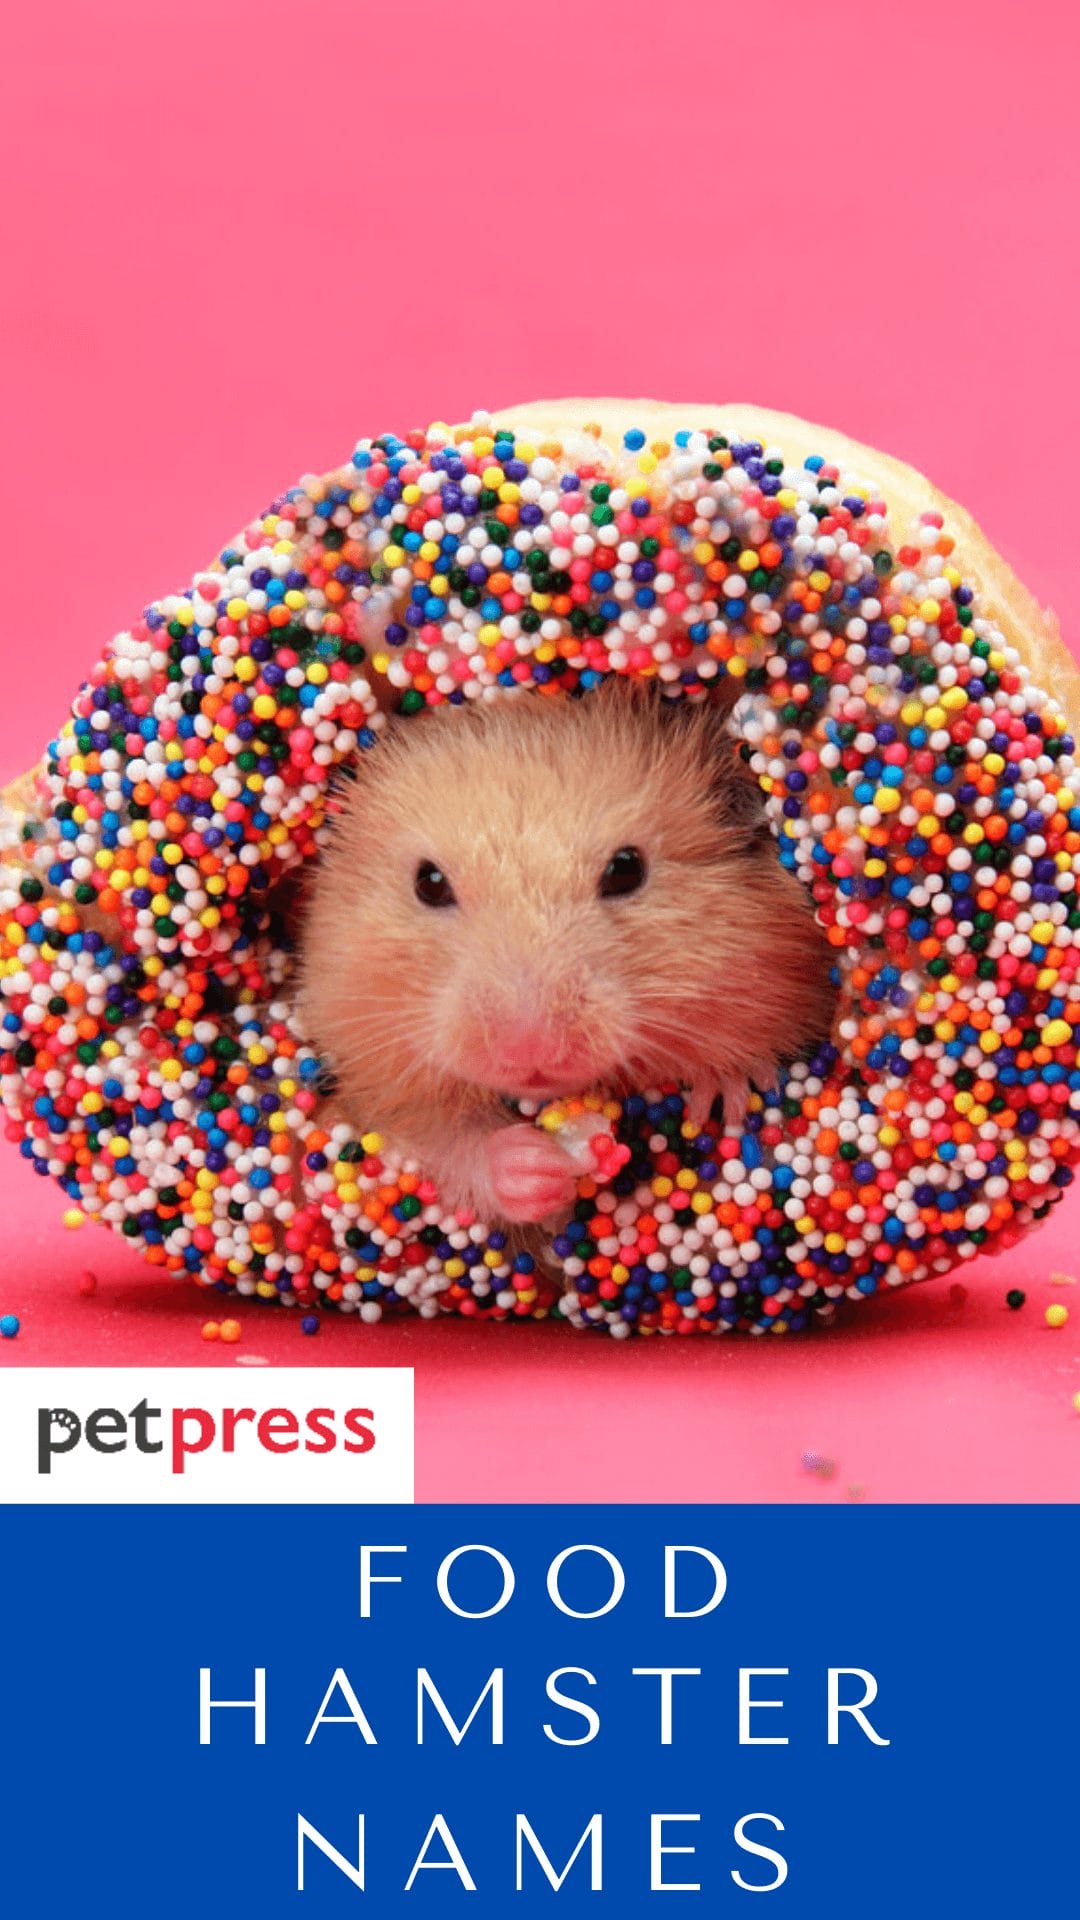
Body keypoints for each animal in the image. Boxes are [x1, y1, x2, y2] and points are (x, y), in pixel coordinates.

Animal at [297, 677, 834, 1225]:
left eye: (626, 869)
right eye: (428, 883)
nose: (528, 1051)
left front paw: (723, 1087)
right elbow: (435, 1139)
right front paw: (535, 1170)